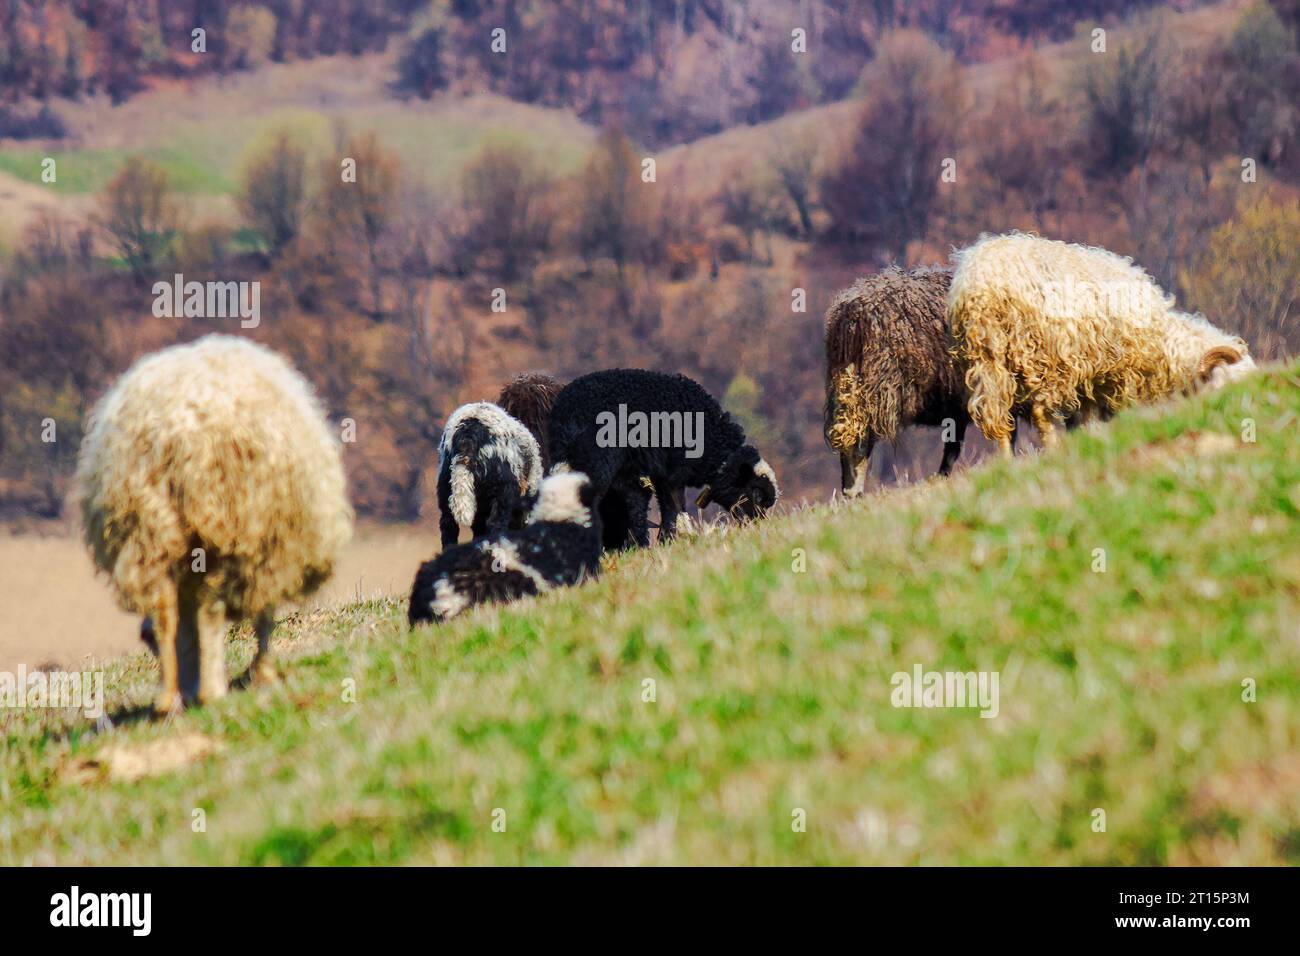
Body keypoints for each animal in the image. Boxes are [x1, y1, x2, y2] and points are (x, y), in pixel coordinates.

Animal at [76, 334, 353, 712]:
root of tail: (172, 431)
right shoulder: (268, 544)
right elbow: (263, 615)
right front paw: (262, 674)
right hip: (223, 525)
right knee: (209, 608)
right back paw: (211, 692)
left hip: (149, 528)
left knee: (165, 610)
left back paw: (169, 700)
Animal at [548, 369, 779, 547]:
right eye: (756, 493)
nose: (757, 528)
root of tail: (567, 412)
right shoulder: (672, 471)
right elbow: (673, 506)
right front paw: (667, 541)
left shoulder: (635, 474)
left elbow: (640, 504)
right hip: (596, 462)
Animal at [949, 233, 1255, 453]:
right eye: (1227, 384)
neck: (1163, 344)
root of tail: (983, 284)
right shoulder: (1113, 379)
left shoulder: (1092, 381)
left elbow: (1087, 422)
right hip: (1042, 357)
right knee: (1041, 413)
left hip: (989, 361)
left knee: (999, 420)